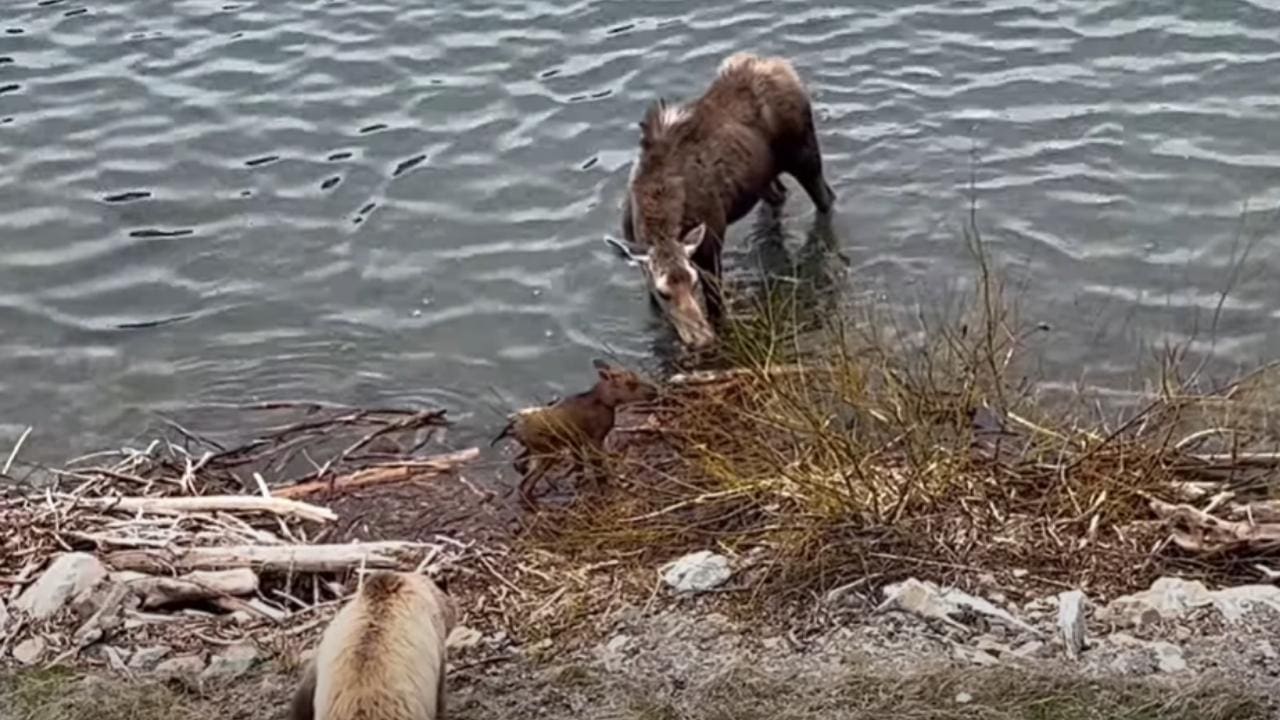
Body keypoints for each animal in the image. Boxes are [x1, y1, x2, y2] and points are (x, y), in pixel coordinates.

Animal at [607, 52, 836, 350]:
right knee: (780, 195)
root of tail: (783, 66)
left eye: (693, 281)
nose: (701, 339)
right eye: (663, 291)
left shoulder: (711, 243)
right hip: (763, 179)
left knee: (826, 198)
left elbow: (717, 306)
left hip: (804, 154)